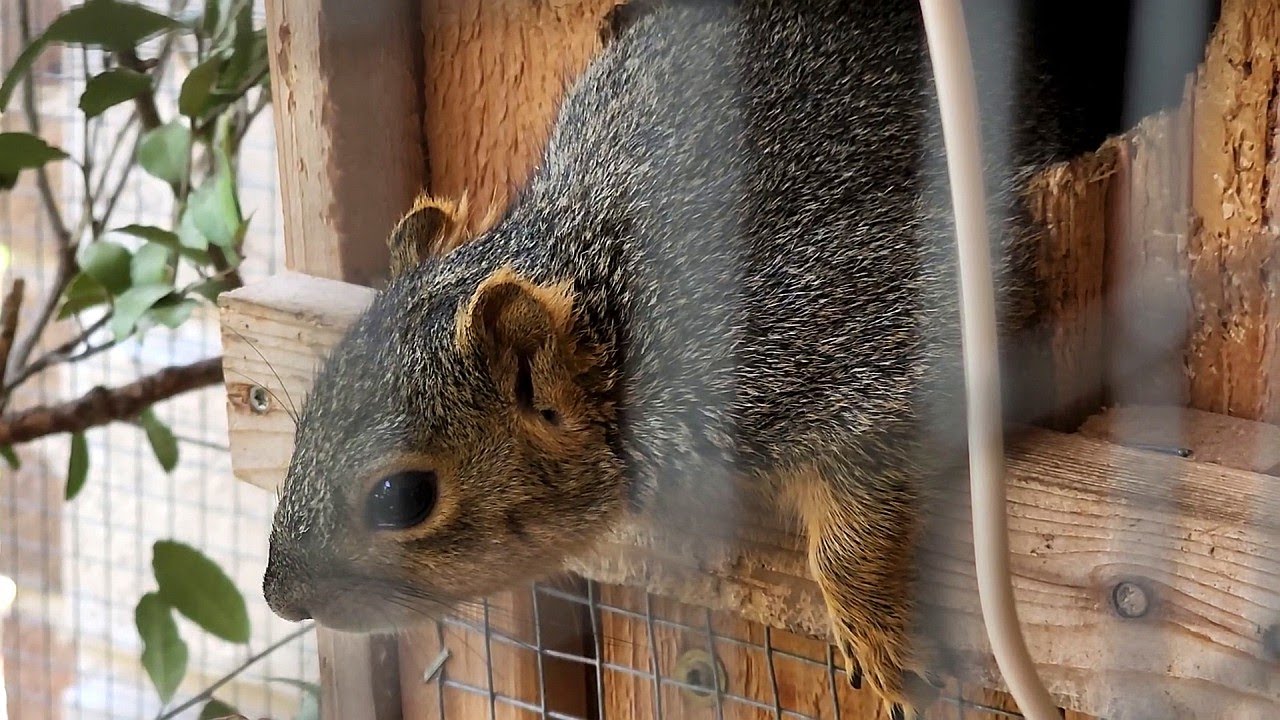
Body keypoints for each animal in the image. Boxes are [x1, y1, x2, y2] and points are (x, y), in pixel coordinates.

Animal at [264, 0, 1079, 716]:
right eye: (304, 419)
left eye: (402, 498)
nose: (279, 596)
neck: (614, 318)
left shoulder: (844, 332)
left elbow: (860, 499)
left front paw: (878, 638)